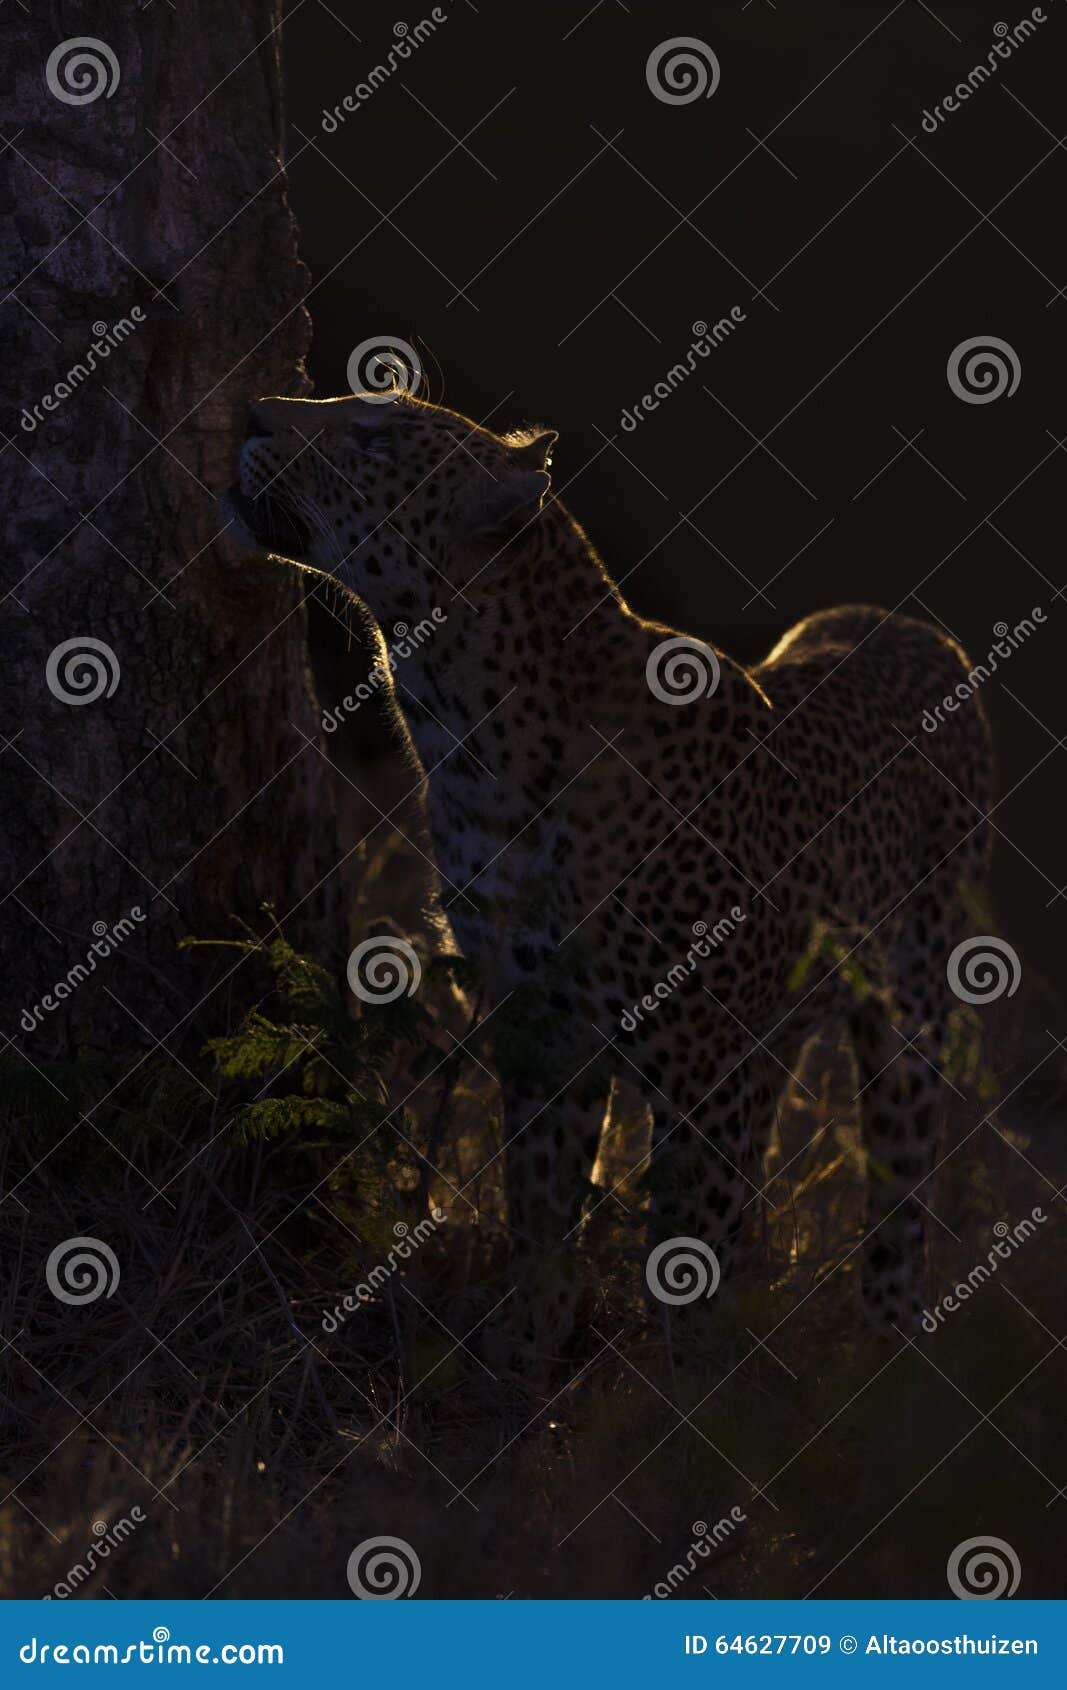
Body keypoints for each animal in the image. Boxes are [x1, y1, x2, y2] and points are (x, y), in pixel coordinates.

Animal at [222, 389, 993, 1361]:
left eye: (374, 436)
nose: (252, 410)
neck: (463, 738)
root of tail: (903, 623)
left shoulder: (699, 1061)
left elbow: (684, 1247)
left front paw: (684, 1391)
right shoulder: (540, 1027)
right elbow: (542, 1212)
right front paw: (523, 1359)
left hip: (908, 1011)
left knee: (900, 1195)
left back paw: (888, 1351)